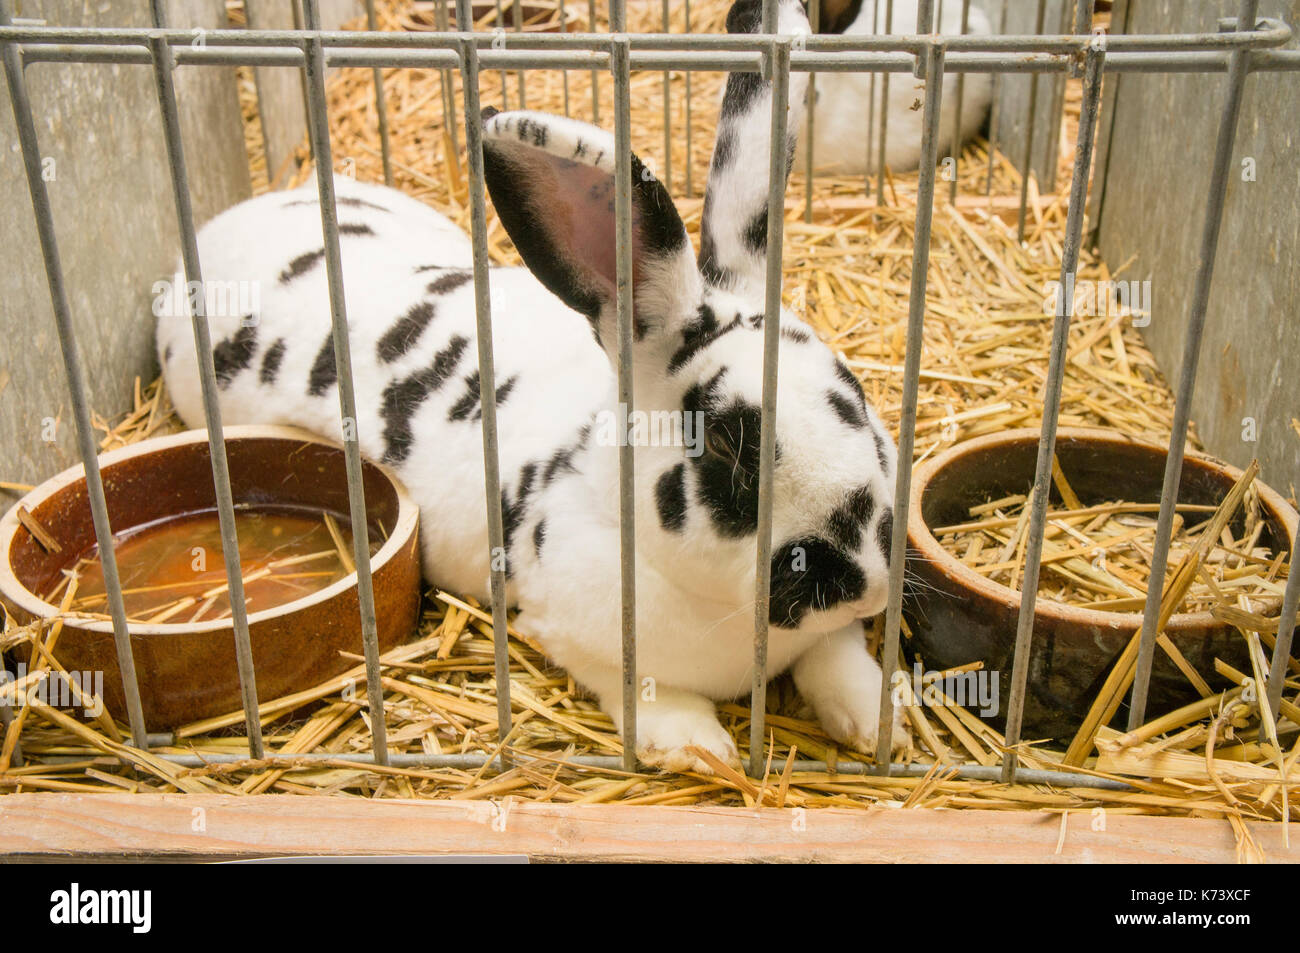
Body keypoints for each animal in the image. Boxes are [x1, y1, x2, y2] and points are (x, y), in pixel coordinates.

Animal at [157, 0, 904, 774]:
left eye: (857, 395)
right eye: (728, 447)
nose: (864, 583)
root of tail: (219, 226)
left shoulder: (825, 633)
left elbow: (836, 654)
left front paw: (878, 722)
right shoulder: (573, 631)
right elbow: (643, 691)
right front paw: (698, 748)